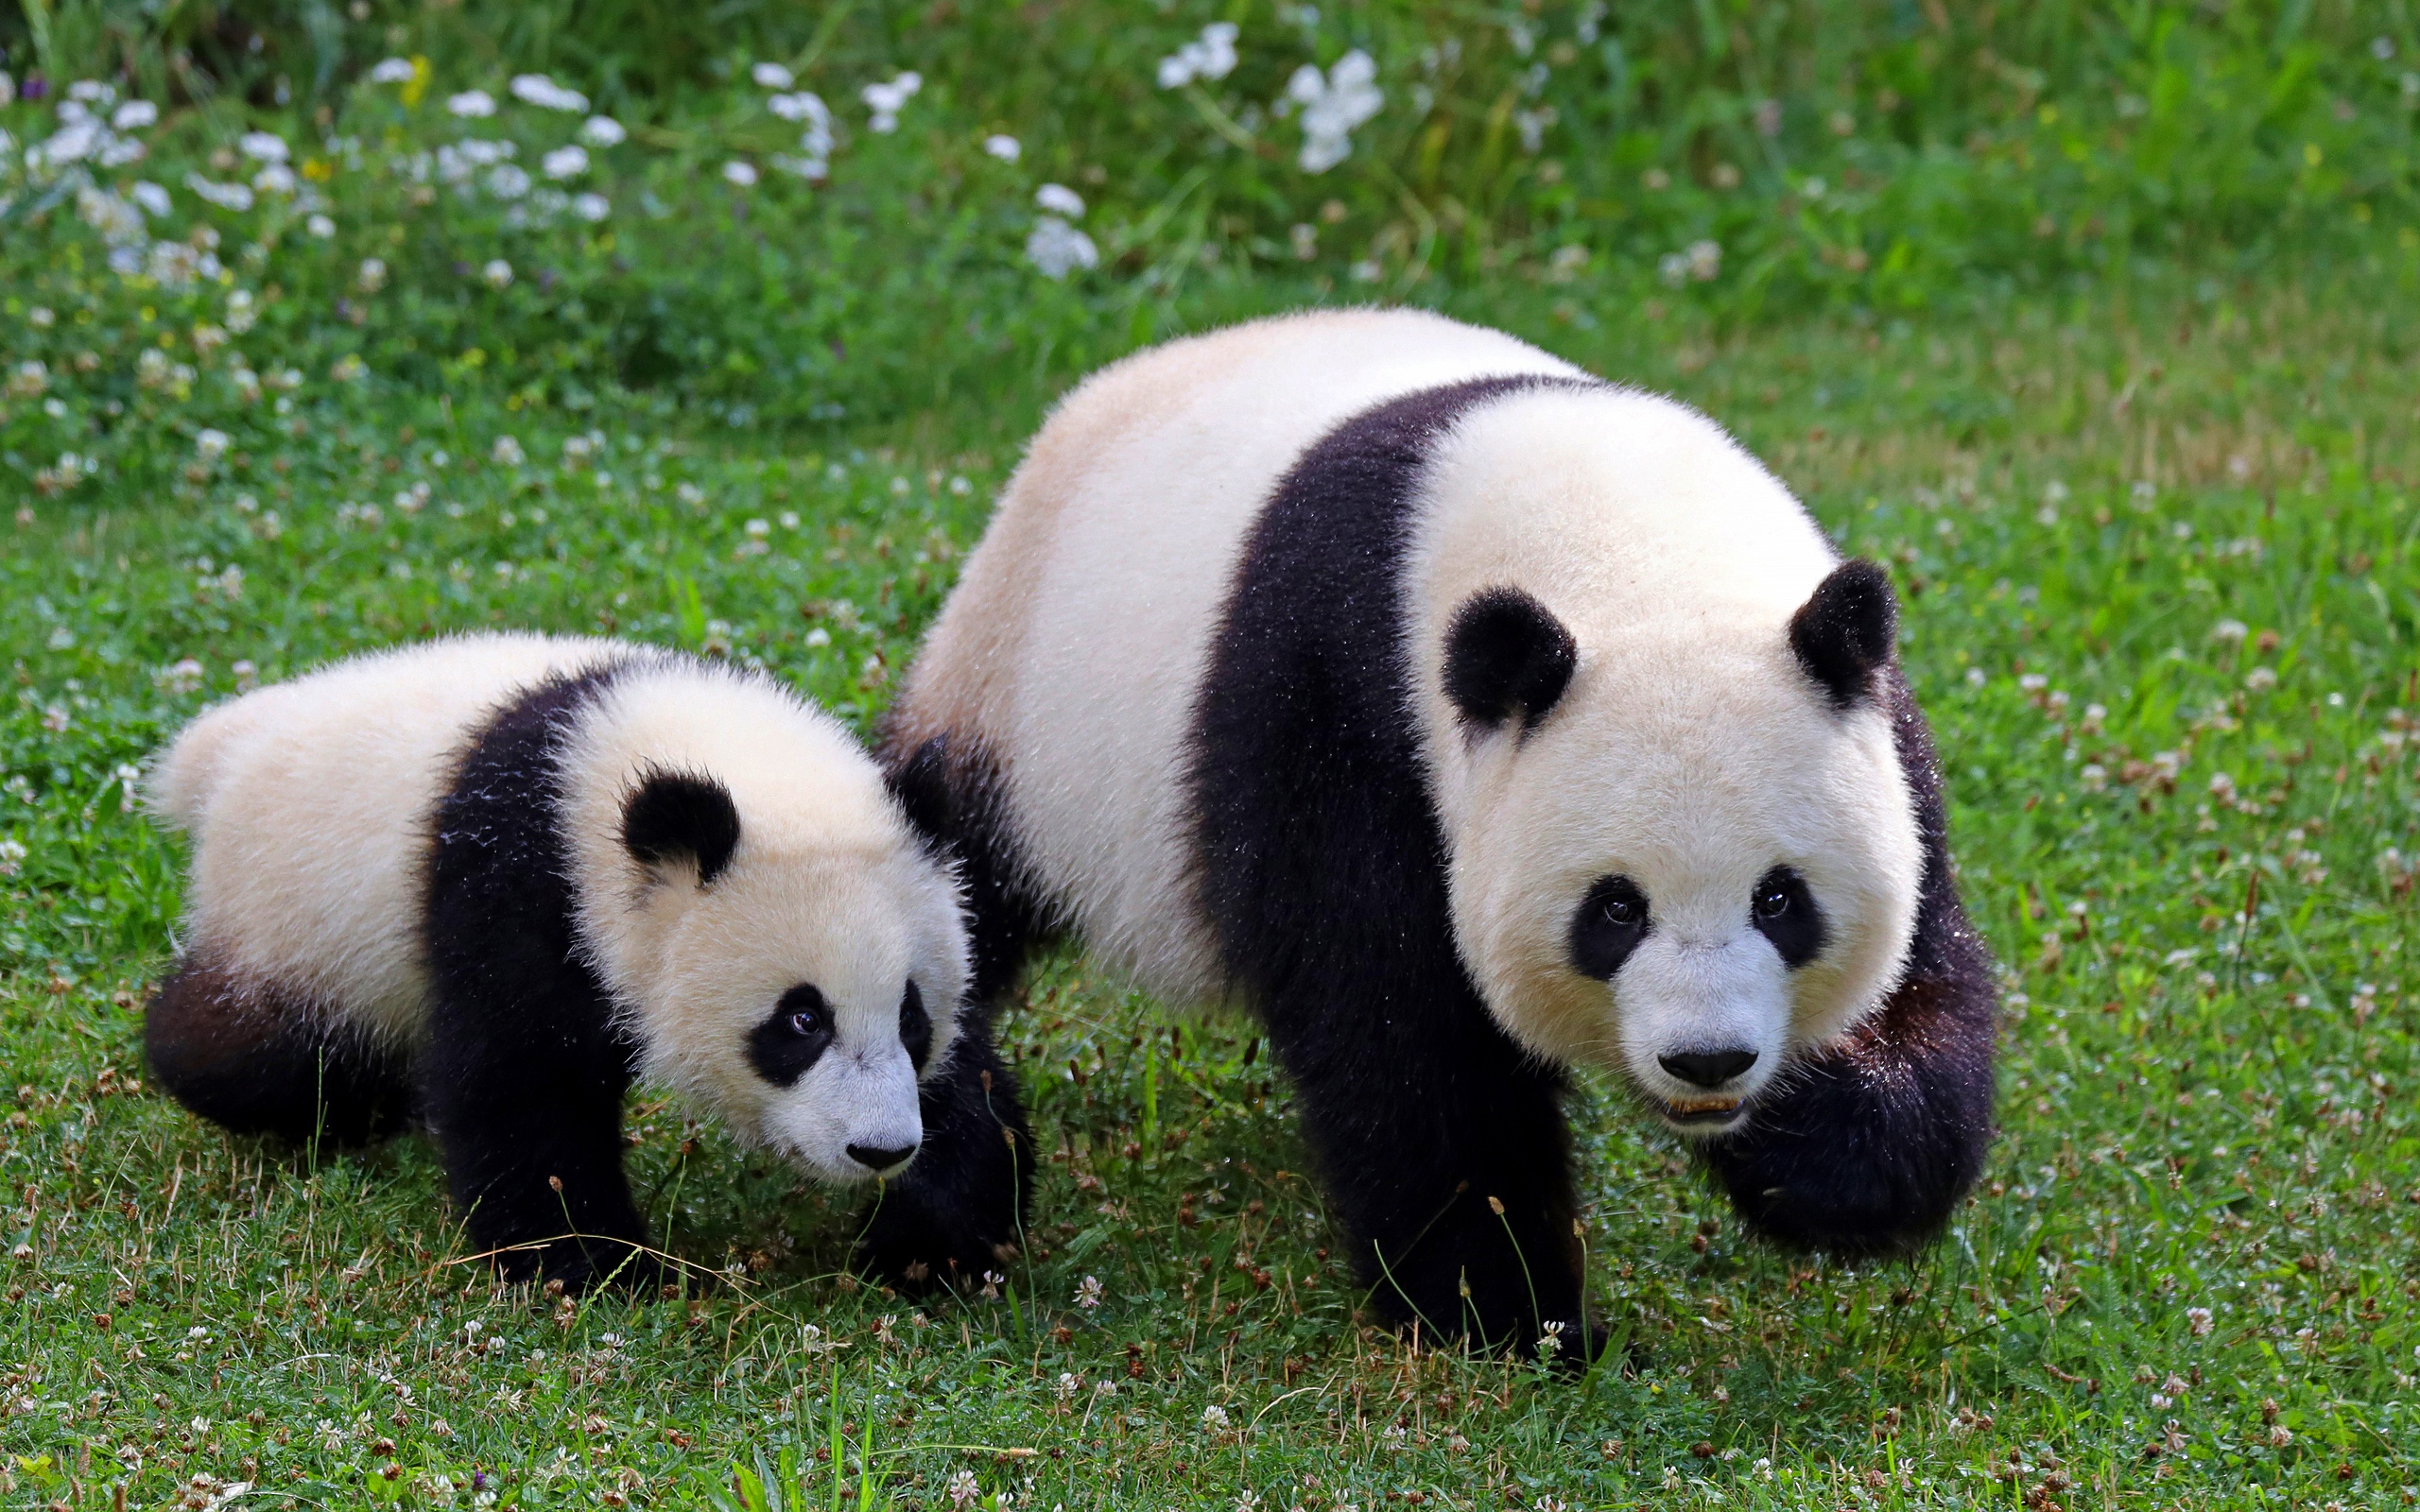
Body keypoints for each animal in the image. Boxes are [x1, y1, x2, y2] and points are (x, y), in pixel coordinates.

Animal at [147, 633, 1029, 1293]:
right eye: (801, 1020)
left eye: (911, 1017)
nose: (879, 1150)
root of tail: (225, 751)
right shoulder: (518, 881)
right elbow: (522, 1080)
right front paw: (597, 1266)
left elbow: (971, 1086)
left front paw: (931, 1242)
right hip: (298, 923)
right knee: (258, 1056)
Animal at [881, 309, 1997, 1353]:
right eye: (1615, 910)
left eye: (1779, 898)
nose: (1709, 1061)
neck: (1627, 547)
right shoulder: (1347, 719)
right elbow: (1406, 1044)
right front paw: (1518, 1321)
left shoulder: (1879, 729)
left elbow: (1926, 996)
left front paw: (1805, 1144)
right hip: (1020, 713)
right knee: (940, 894)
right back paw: (947, 1193)